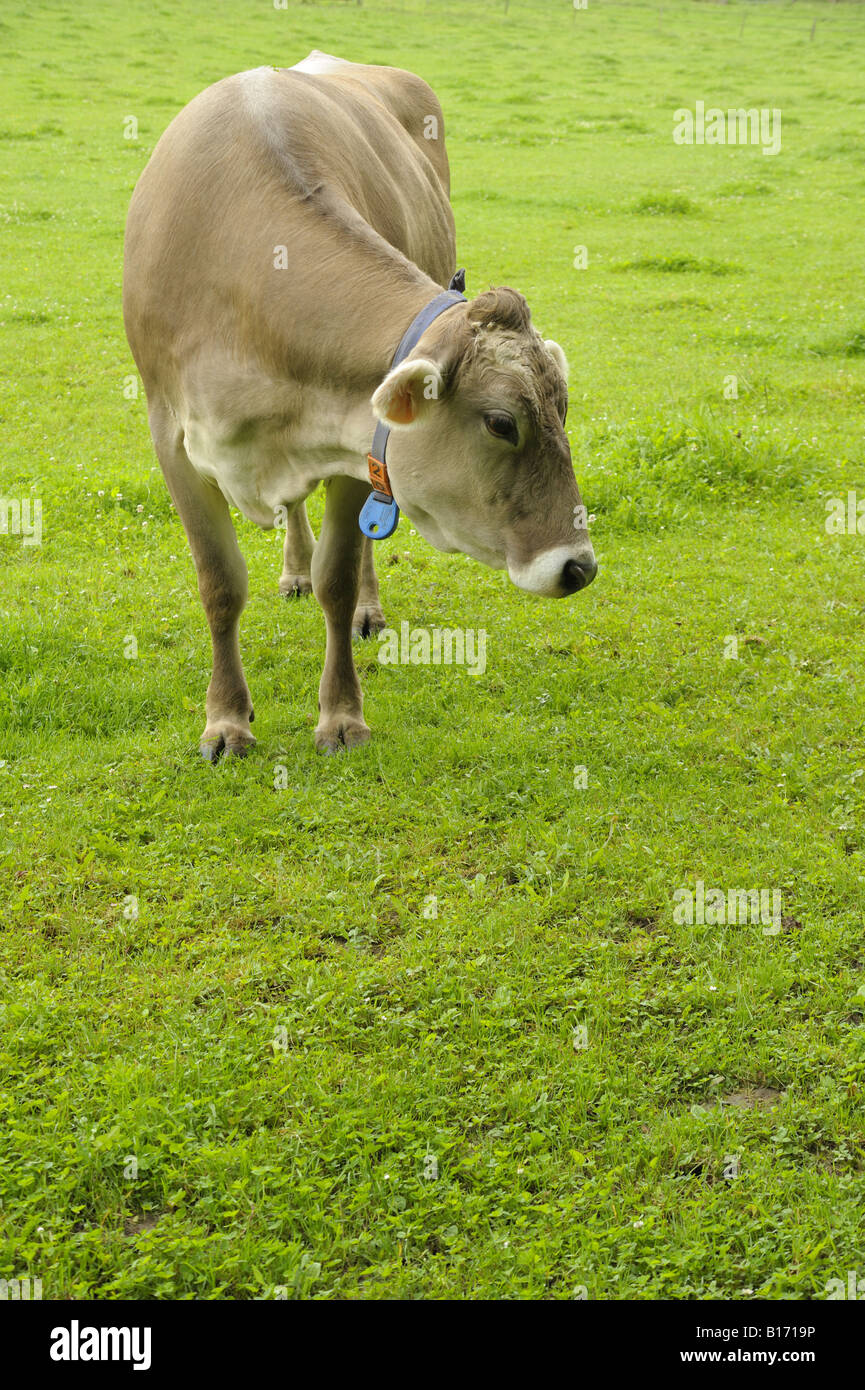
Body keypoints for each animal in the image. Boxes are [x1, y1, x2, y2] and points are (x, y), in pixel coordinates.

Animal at [123, 51, 597, 760]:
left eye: (562, 412)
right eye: (501, 422)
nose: (579, 565)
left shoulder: (354, 442)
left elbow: (340, 578)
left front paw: (341, 716)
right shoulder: (172, 439)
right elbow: (220, 584)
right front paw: (226, 721)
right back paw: (291, 570)